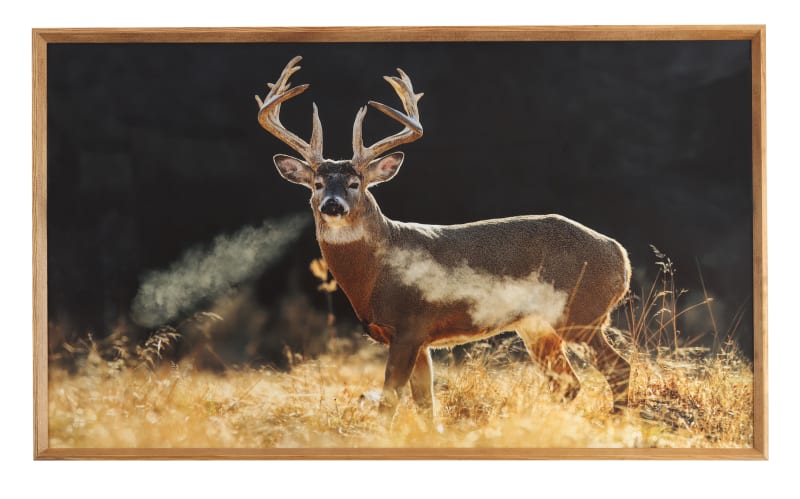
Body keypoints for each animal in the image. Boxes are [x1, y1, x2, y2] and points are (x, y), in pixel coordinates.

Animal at [255, 56, 632, 423]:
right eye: (317, 184)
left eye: (355, 183)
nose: (333, 205)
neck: (376, 272)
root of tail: (620, 255)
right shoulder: (421, 340)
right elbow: (425, 404)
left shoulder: (410, 326)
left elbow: (389, 403)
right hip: (538, 326)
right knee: (568, 384)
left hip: (581, 310)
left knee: (618, 368)